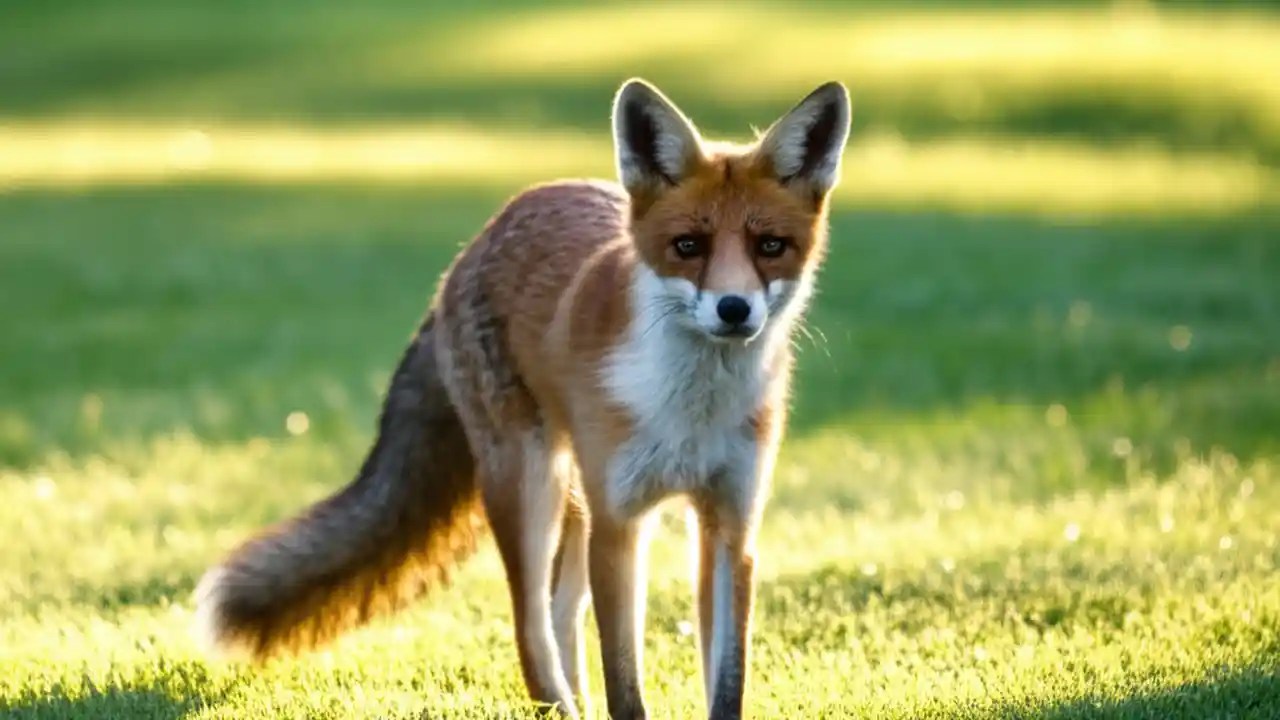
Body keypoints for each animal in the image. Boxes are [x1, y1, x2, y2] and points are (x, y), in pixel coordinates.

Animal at [194, 78, 851, 719]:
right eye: (689, 245)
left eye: (770, 246)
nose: (734, 310)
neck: (691, 410)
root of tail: (479, 241)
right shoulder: (620, 522)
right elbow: (625, 688)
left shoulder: (731, 524)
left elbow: (727, 686)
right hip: (532, 485)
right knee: (531, 628)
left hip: (576, 499)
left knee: (560, 614)